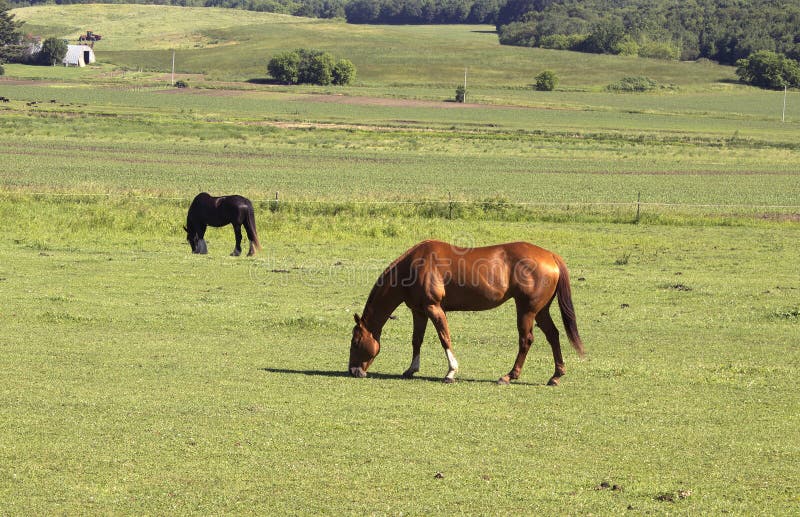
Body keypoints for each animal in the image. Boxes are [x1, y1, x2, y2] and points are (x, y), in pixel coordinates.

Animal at [349, 240, 584, 385]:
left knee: (526, 340)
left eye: (356, 342)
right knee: (553, 335)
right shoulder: (419, 312)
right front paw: (411, 369)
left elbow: (444, 338)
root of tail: (551, 256)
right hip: (540, 311)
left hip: (527, 310)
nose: (353, 371)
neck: (413, 266)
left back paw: (509, 376)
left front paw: (451, 372)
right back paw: (556, 375)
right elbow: (417, 340)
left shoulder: (434, 308)